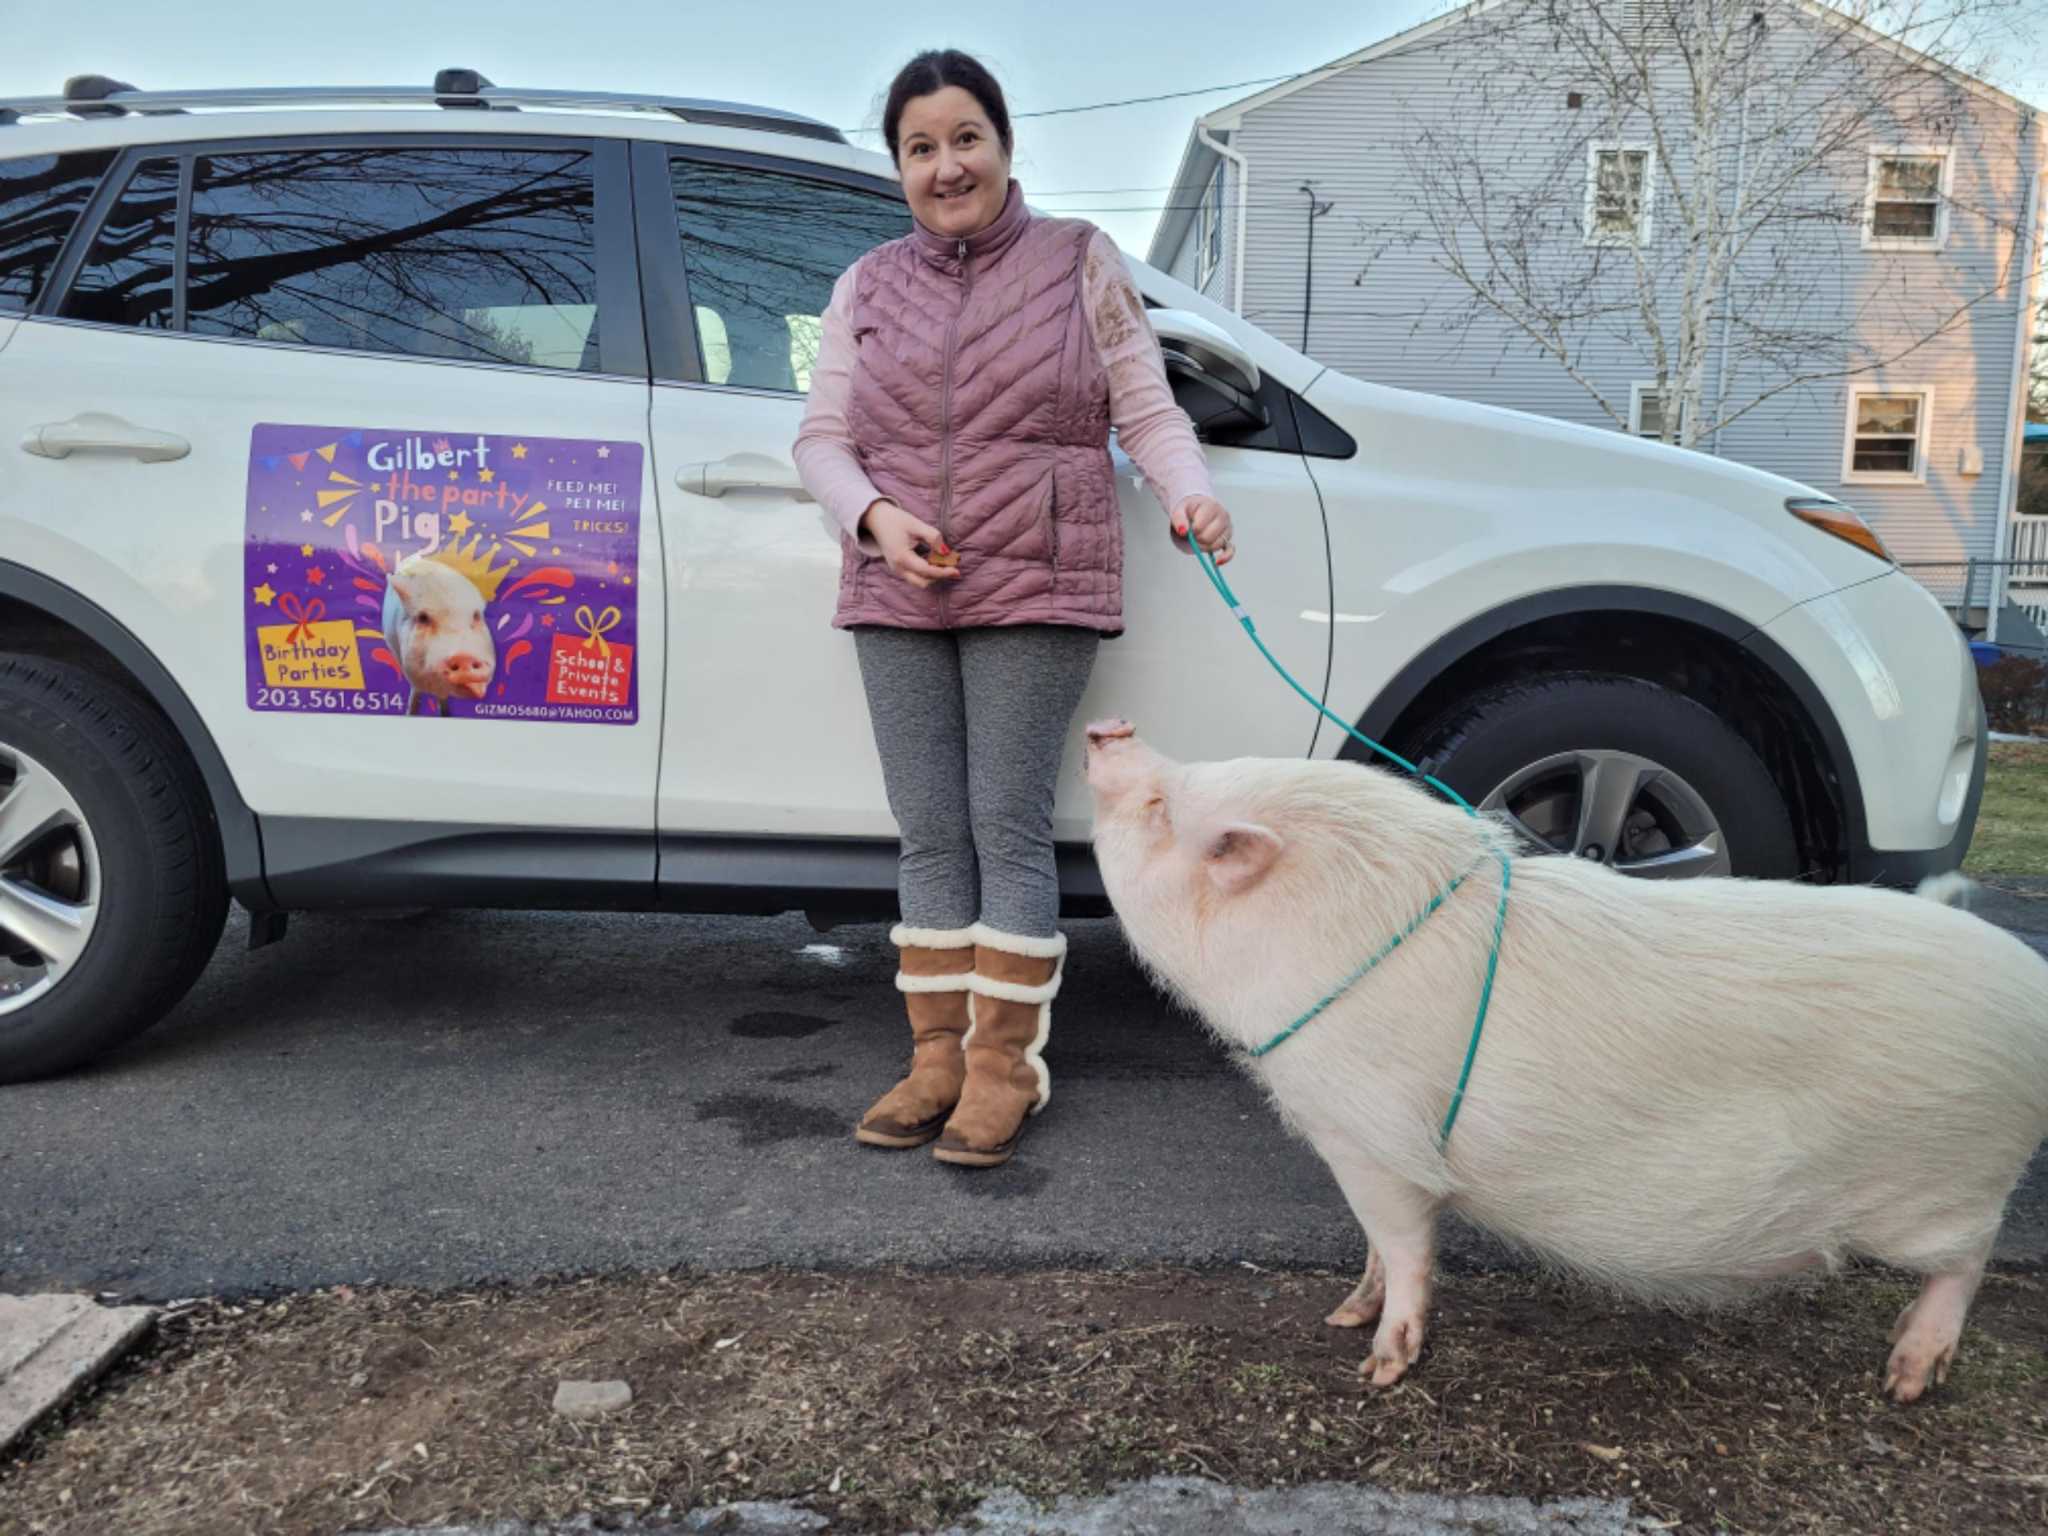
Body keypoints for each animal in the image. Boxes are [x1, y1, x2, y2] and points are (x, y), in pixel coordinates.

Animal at [381, 554, 495, 717]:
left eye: (476, 616)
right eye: (423, 618)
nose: (464, 657)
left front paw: (446, 715)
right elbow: (417, 690)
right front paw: (411, 714)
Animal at [1083, 719, 2048, 1403]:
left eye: (1161, 811)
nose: (1108, 727)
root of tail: (2026, 980)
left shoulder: (1374, 1140)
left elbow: (1405, 1245)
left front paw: (1379, 1368)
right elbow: (1374, 1248)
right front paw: (1342, 1314)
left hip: (1944, 1187)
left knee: (1972, 1256)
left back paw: (1906, 1380)